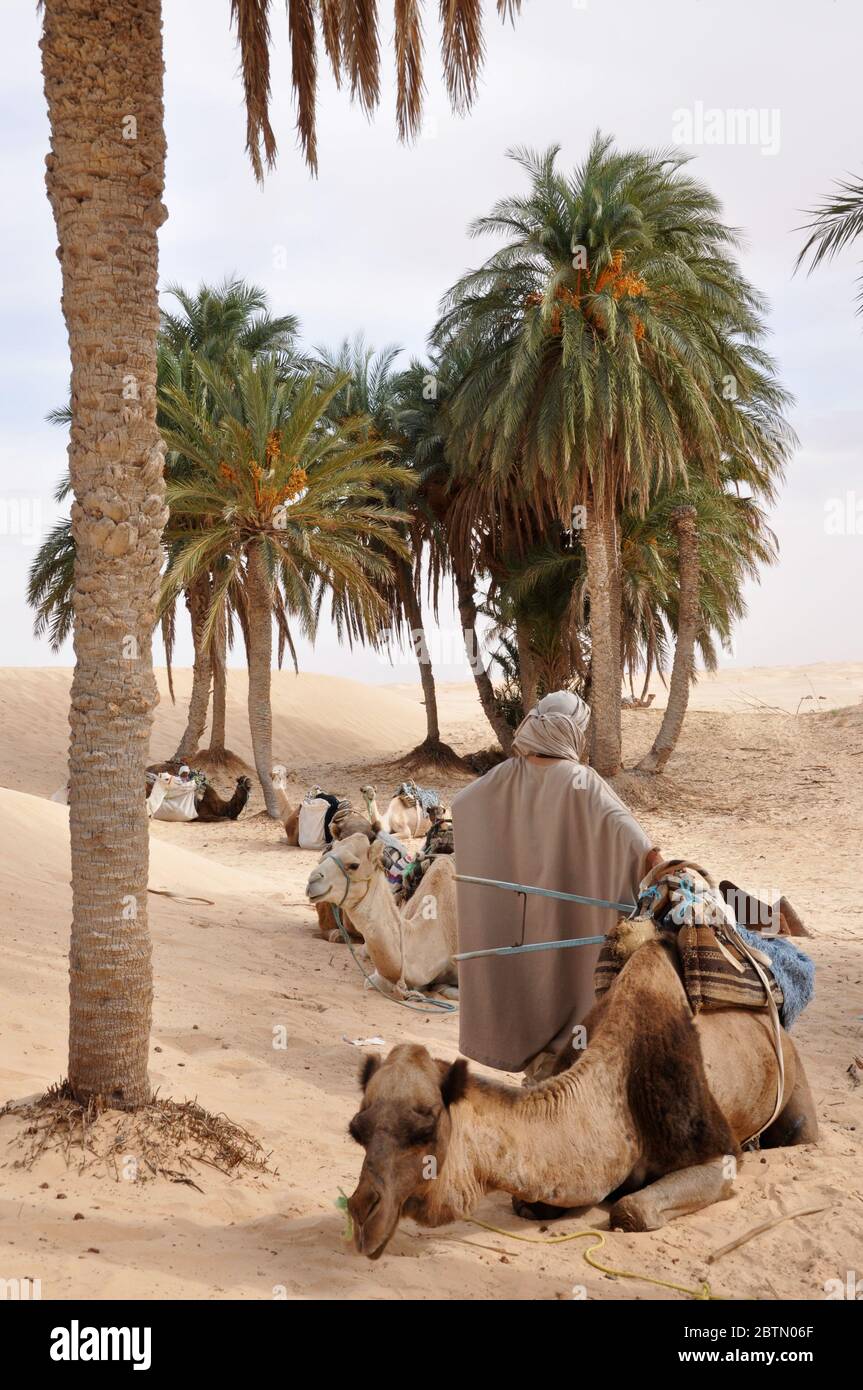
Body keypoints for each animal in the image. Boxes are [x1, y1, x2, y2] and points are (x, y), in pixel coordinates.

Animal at [345, 923, 817, 1260]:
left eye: (425, 1133)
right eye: (358, 1131)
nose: (360, 1212)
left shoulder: (717, 1151)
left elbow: (631, 1209)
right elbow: (530, 1202)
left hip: (795, 1087)